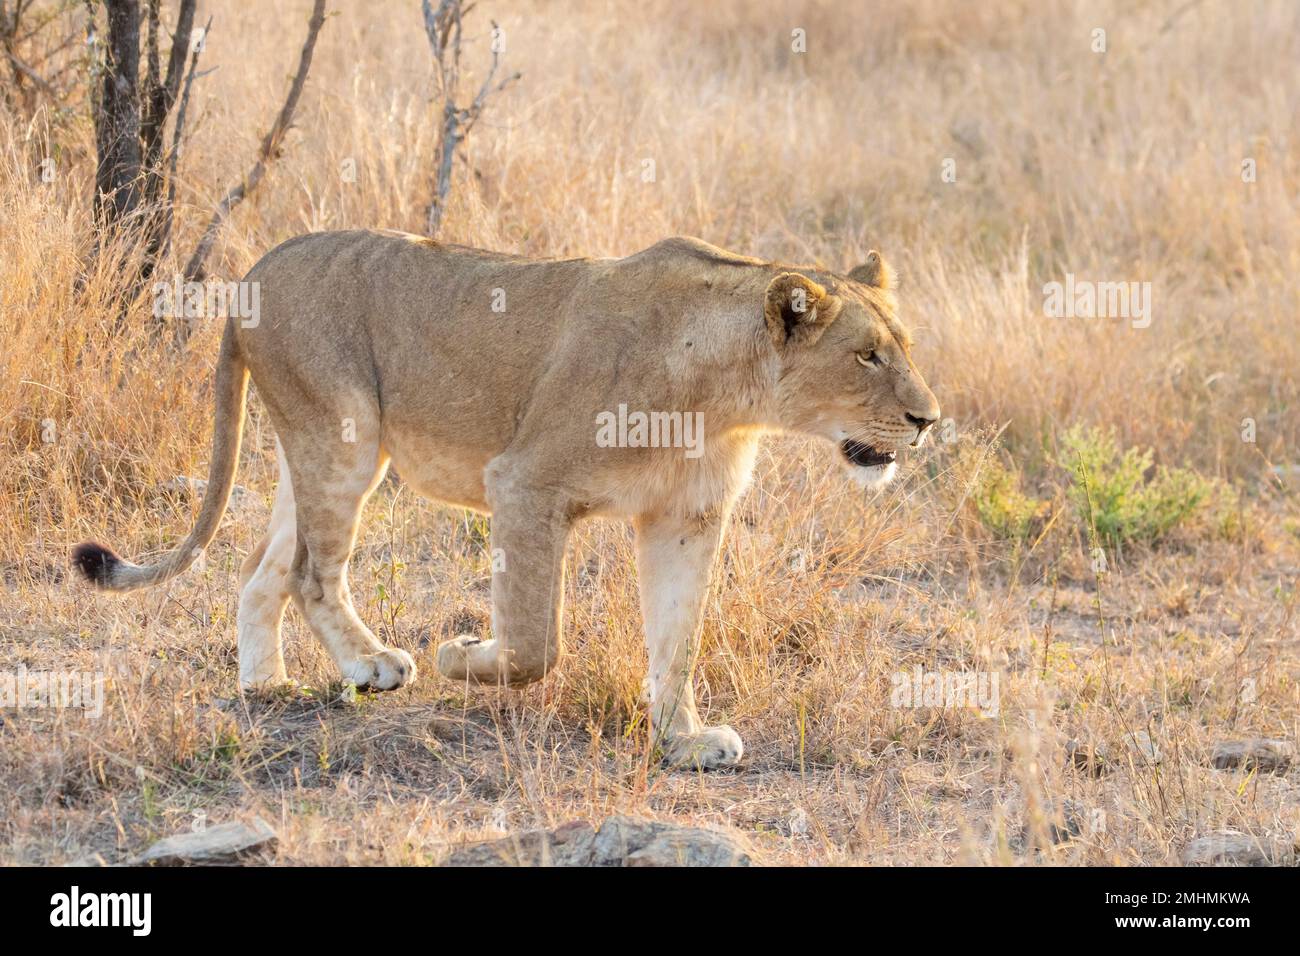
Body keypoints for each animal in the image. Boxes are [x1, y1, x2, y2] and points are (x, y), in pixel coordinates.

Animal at [73, 231, 940, 769]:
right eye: (866, 356)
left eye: (904, 349)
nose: (929, 420)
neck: (726, 396)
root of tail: (257, 267)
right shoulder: (524, 485)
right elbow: (533, 645)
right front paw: (461, 654)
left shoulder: (686, 517)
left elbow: (678, 638)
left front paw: (683, 740)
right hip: (344, 439)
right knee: (313, 573)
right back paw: (373, 664)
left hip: (315, 450)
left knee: (265, 572)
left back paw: (267, 684)